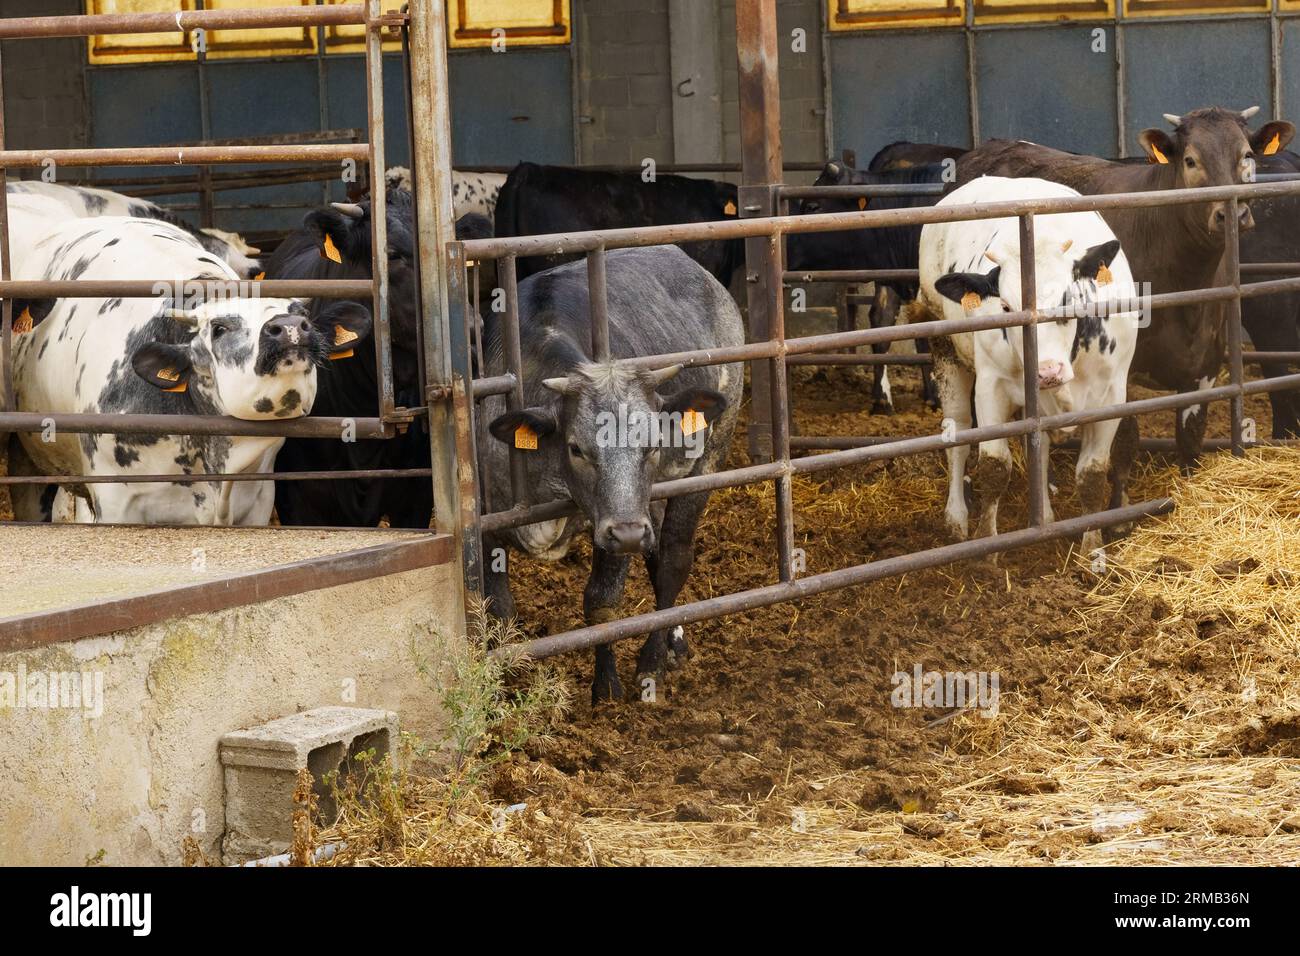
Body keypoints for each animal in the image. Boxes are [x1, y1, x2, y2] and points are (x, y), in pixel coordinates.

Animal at [479, 245, 742, 704]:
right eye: (576, 448)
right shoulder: (486, 525)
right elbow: (500, 611)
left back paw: (653, 658)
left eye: (652, 444)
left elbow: (601, 602)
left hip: (706, 461)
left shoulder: (618, 527)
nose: (629, 533)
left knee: (671, 560)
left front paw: (606, 685)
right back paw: (673, 641)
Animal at [916, 177, 1139, 556]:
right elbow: (994, 467)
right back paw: (956, 517)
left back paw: (1044, 516)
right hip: (945, 350)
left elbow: (1091, 474)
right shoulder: (991, 387)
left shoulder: (1111, 395)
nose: (1048, 372)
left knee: (1041, 445)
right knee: (958, 432)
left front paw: (1092, 549)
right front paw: (986, 551)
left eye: (1067, 298)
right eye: (1006, 307)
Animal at [956, 107, 1296, 480]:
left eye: (1247, 156)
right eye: (1190, 160)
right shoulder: (1121, 370)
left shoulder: (1204, 365)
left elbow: (1190, 439)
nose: (1232, 213)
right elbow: (1124, 445)